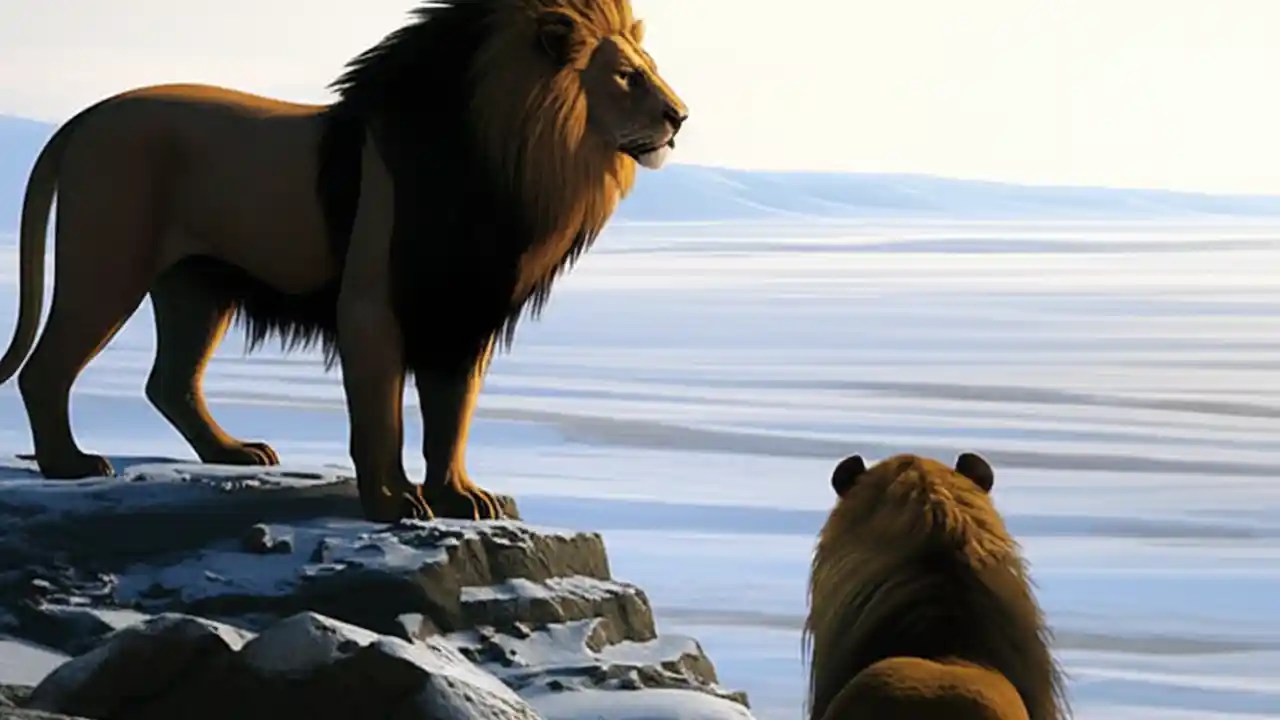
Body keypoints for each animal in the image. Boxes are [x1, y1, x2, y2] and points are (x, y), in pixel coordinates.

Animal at [0, 0, 687, 522]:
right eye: (627, 76)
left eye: (648, 70)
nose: (679, 116)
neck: (515, 159)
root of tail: (82, 119)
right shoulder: (373, 304)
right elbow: (382, 417)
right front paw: (392, 502)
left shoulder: (461, 313)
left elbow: (452, 415)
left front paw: (460, 497)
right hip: (109, 263)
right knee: (45, 370)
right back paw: (69, 465)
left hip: (196, 285)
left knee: (169, 382)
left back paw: (233, 452)